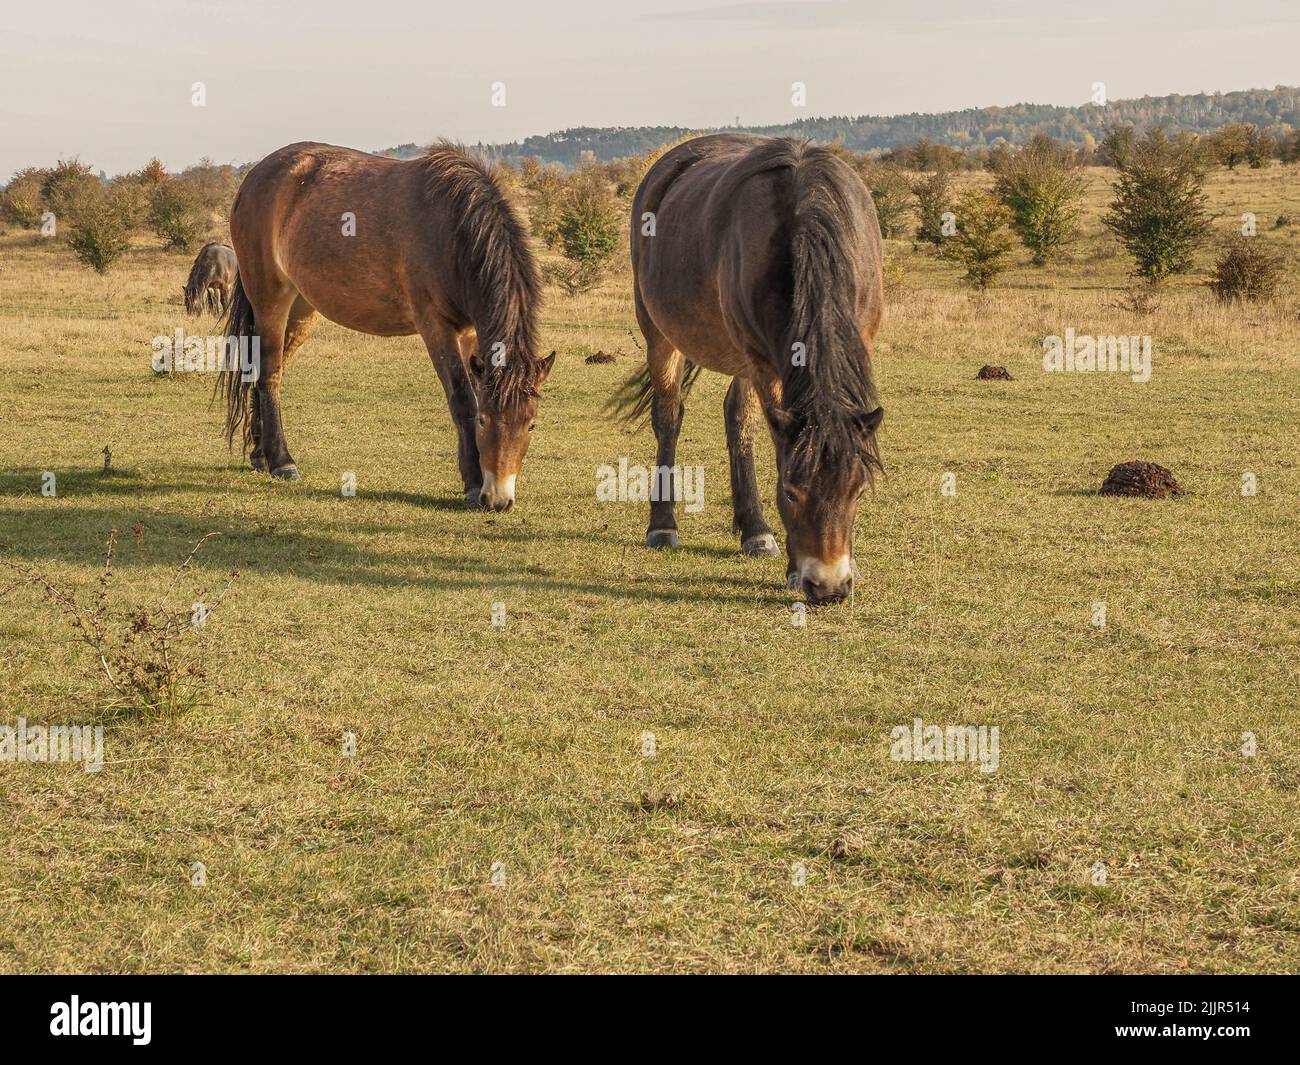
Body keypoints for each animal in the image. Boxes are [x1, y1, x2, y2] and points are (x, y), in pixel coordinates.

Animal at [217, 141, 554, 507]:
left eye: (531, 424)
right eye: (484, 420)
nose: (498, 500)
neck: (452, 228)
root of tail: (255, 176)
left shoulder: (469, 331)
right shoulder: (435, 326)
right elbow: (463, 399)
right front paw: (473, 482)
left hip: (301, 309)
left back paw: (260, 454)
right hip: (270, 301)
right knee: (270, 374)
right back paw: (281, 460)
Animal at [616, 134, 885, 604]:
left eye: (858, 490)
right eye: (792, 493)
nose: (829, 586)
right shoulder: (765, 365)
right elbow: (778, 450)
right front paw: (795, 568)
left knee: (736, 417)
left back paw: (753, 530)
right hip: (660, 334)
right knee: (668, 417)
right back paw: (663, 525)